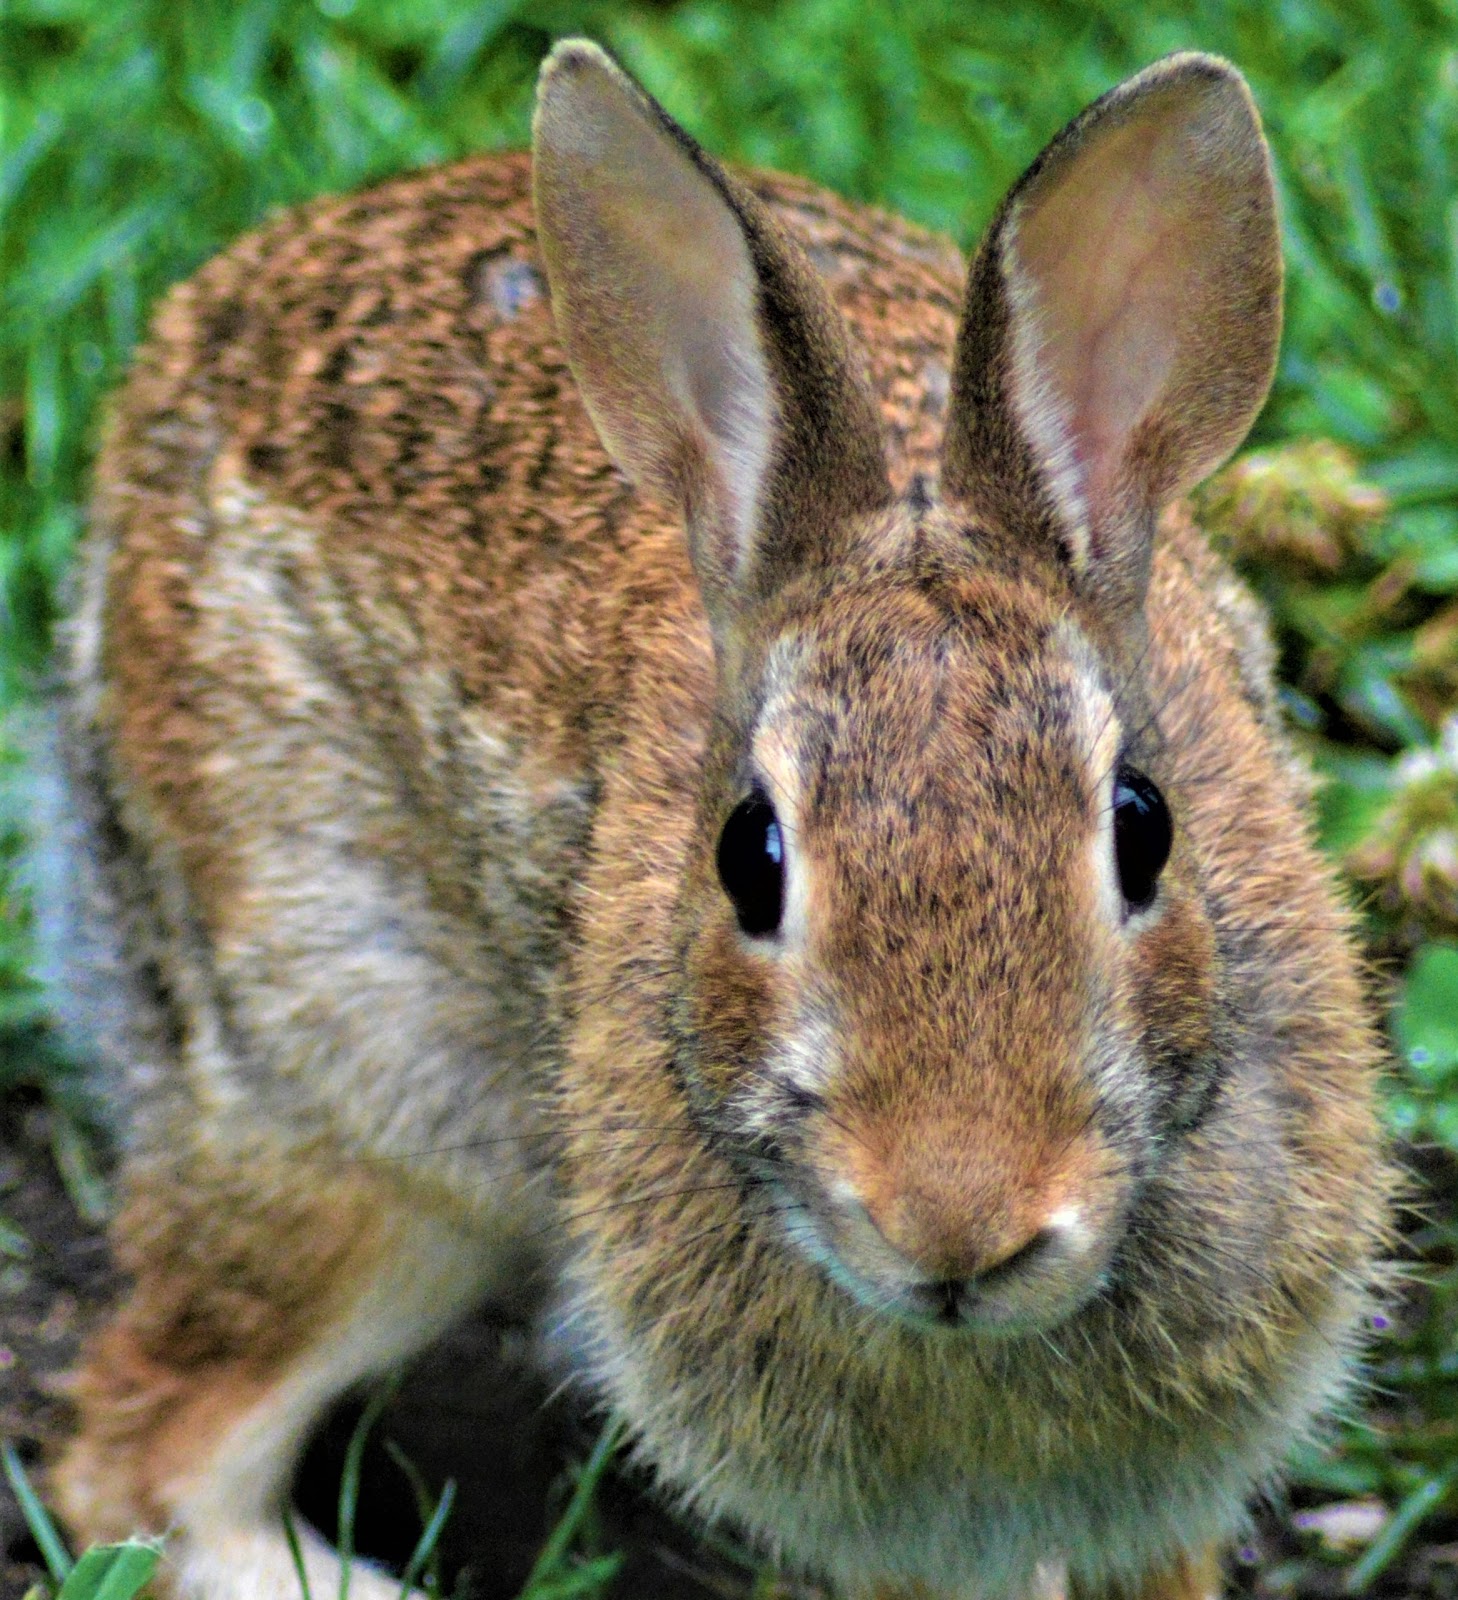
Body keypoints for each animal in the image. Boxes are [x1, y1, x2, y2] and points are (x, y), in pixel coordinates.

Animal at [46, 35, 1391, 1600]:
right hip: (361, 1106)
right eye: (749, 858)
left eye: (1144, 830)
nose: (956, 1225)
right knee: (144, 1448)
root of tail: (177, 363)